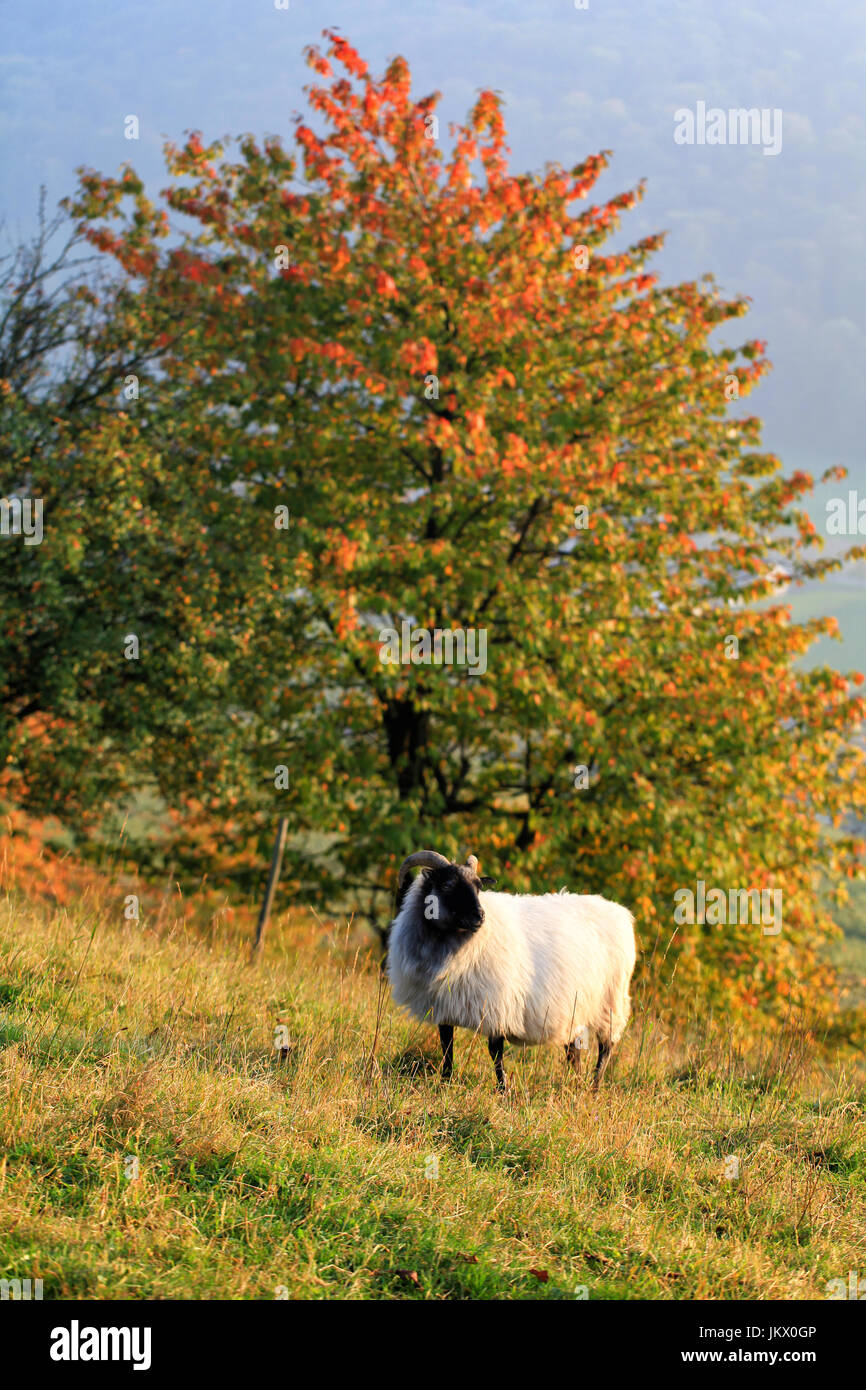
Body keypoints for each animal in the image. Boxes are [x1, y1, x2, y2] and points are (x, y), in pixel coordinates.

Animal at [386, 850, 636, 1092]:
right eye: (447, 885)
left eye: (478, 886)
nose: (480, 917)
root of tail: (618, 911)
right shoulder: (445, 1007)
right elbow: (447, 1046)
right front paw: (445, 1083)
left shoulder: (497, 1004)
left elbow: (495, 1051)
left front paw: (503, 1090)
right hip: (575, 1009)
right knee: (573, 1051)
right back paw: (575, 1085)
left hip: (610, 1002)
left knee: (606, 1047)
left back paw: (594, 1087)